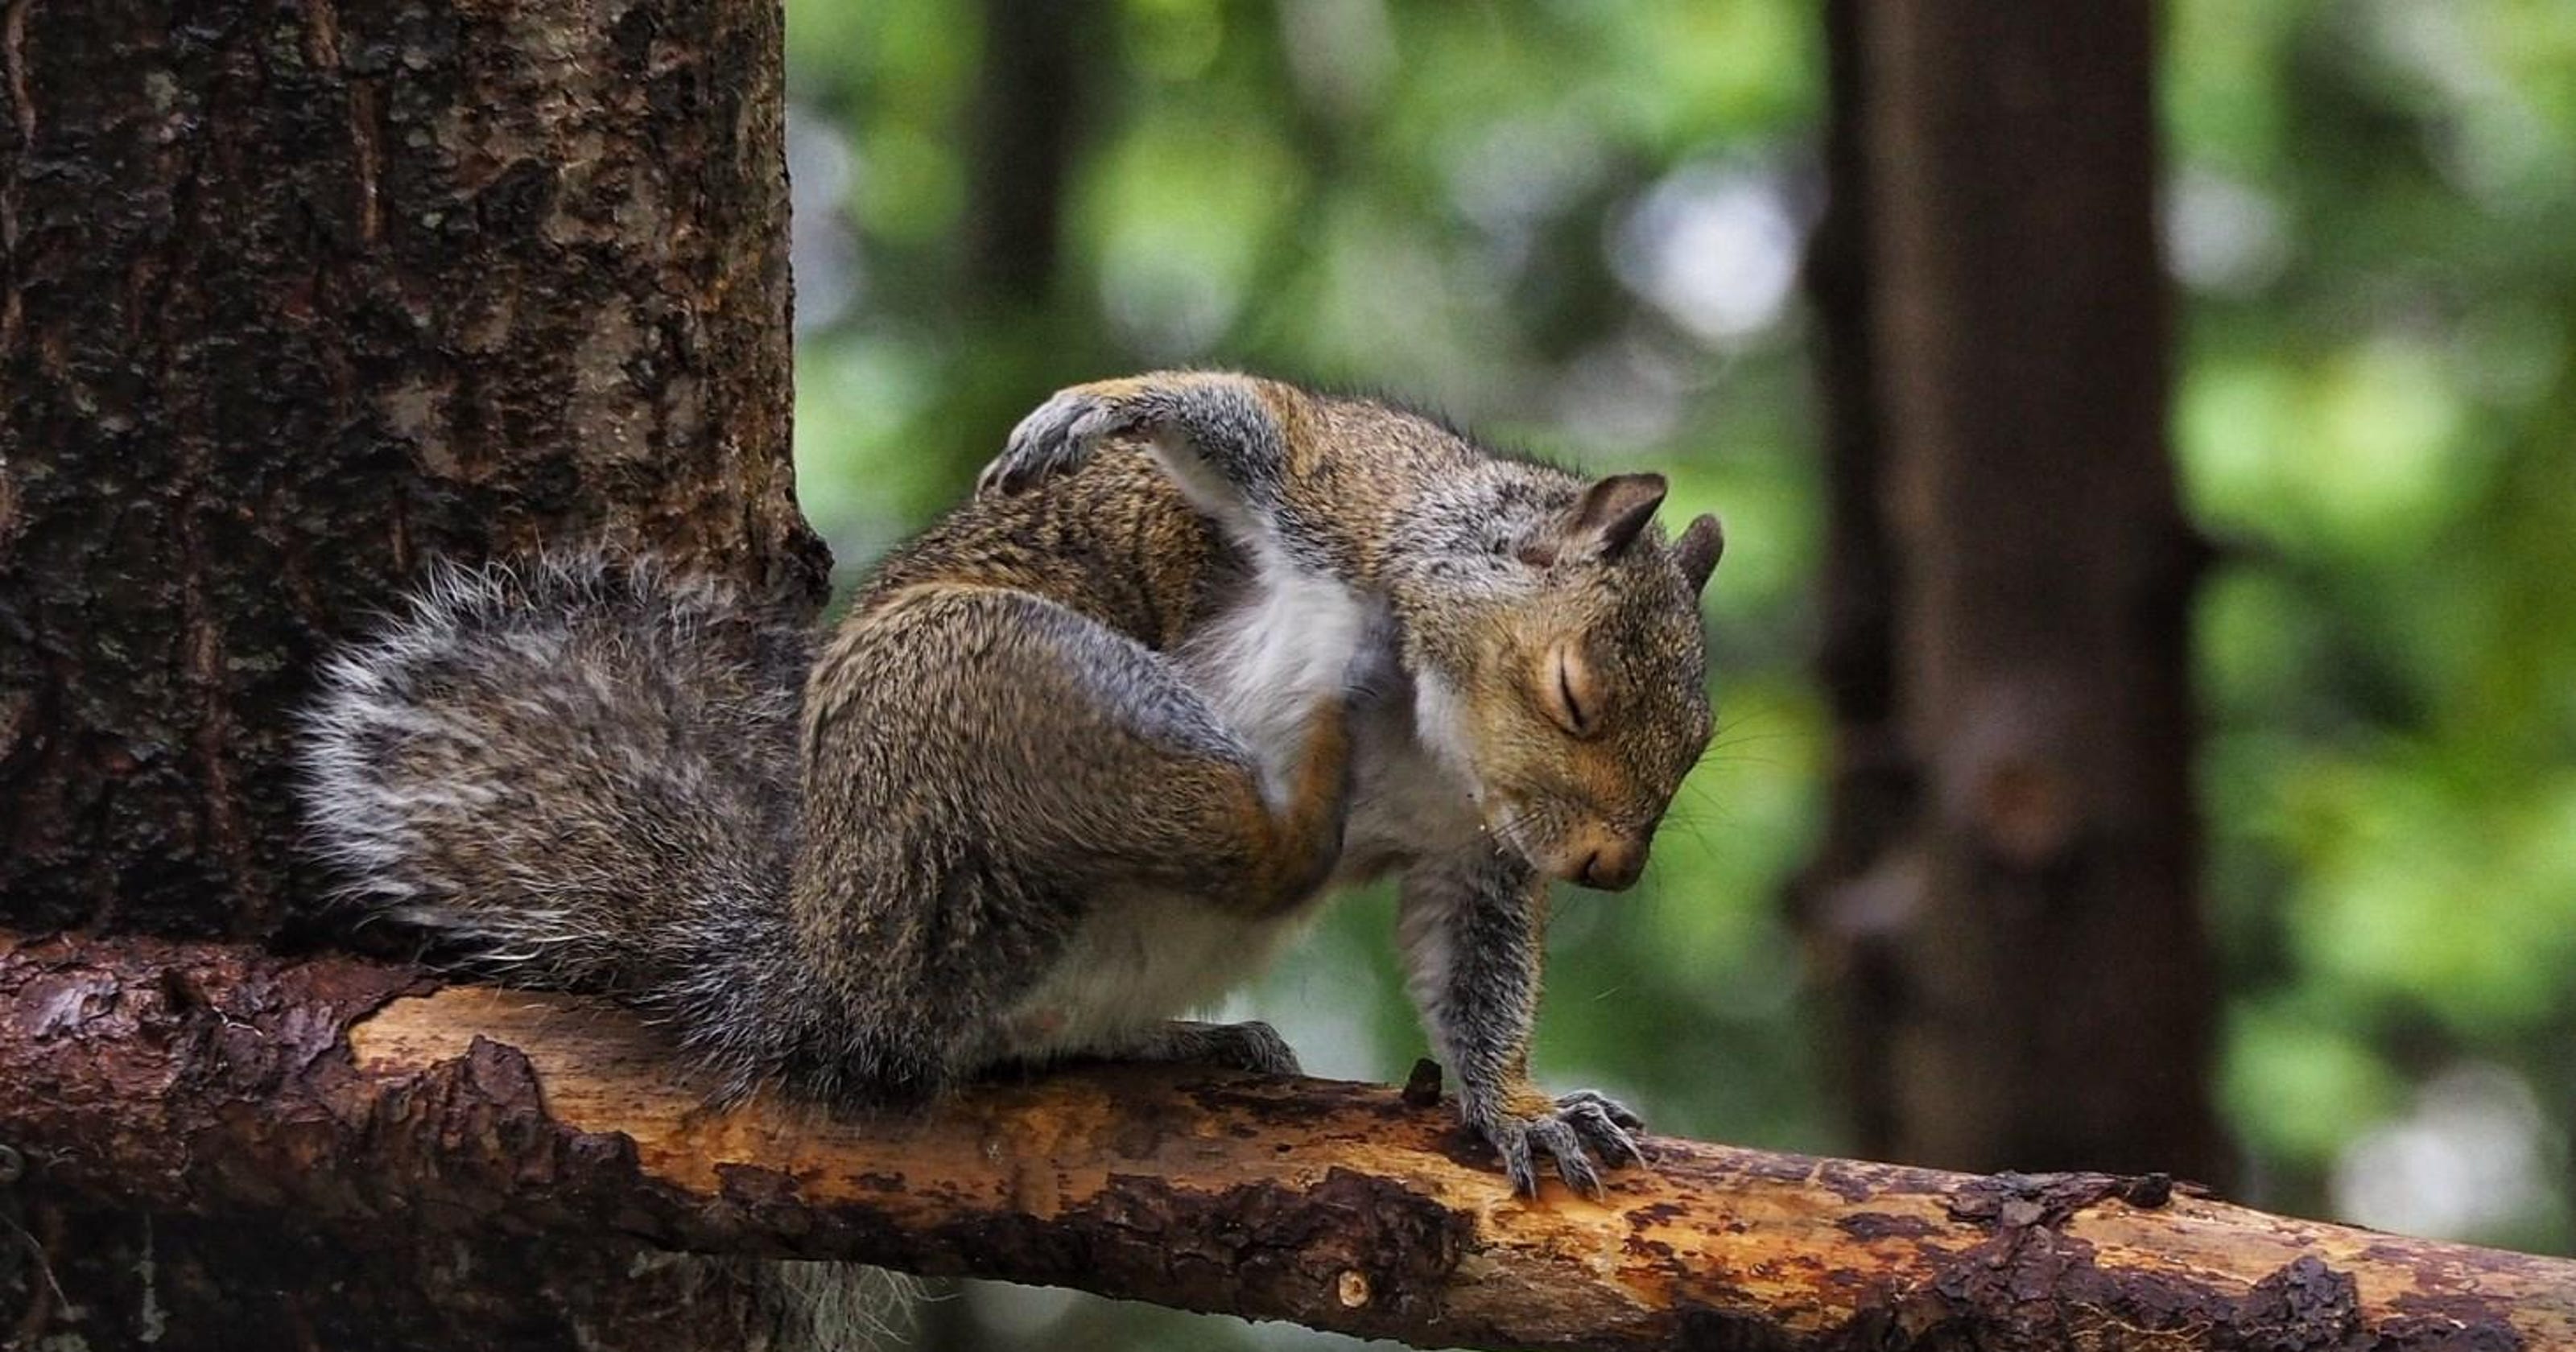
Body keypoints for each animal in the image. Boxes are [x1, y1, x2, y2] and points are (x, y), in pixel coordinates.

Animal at [303, 370, 1722, 1196]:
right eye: (1576, 694)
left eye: (1699, 743)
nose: (1607, 869)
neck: (1431, 739)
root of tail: (814, 964)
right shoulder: (1340, 496)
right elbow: (1249, 418)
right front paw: (1103, 407)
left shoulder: (1475, 854)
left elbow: (1474, 976)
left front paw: (1519, 1111)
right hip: (995, 695)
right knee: (1247, 850)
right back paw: (1309, 779)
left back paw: (1188, 1038)